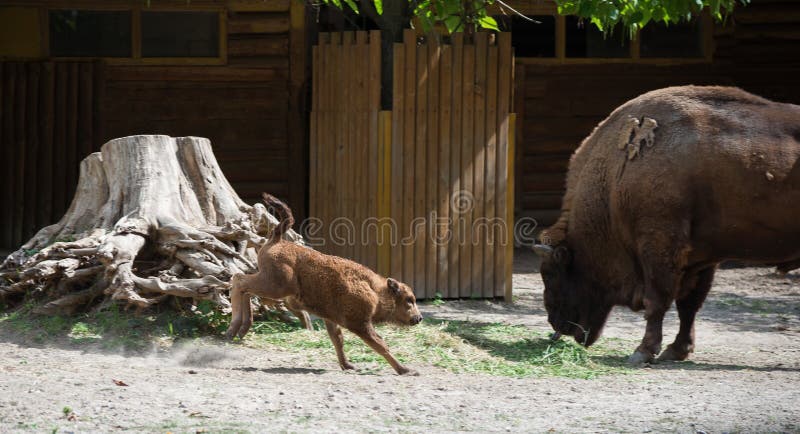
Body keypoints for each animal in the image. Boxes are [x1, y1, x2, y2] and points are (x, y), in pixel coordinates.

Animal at [534, 86, 800, 364]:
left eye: (550, 273)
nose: (555, 323)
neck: (616, 177)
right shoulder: (701, 259)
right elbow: (688, 305)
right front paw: (677, 350)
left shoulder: (659, 244)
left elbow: (657, 301)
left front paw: (642, 352)